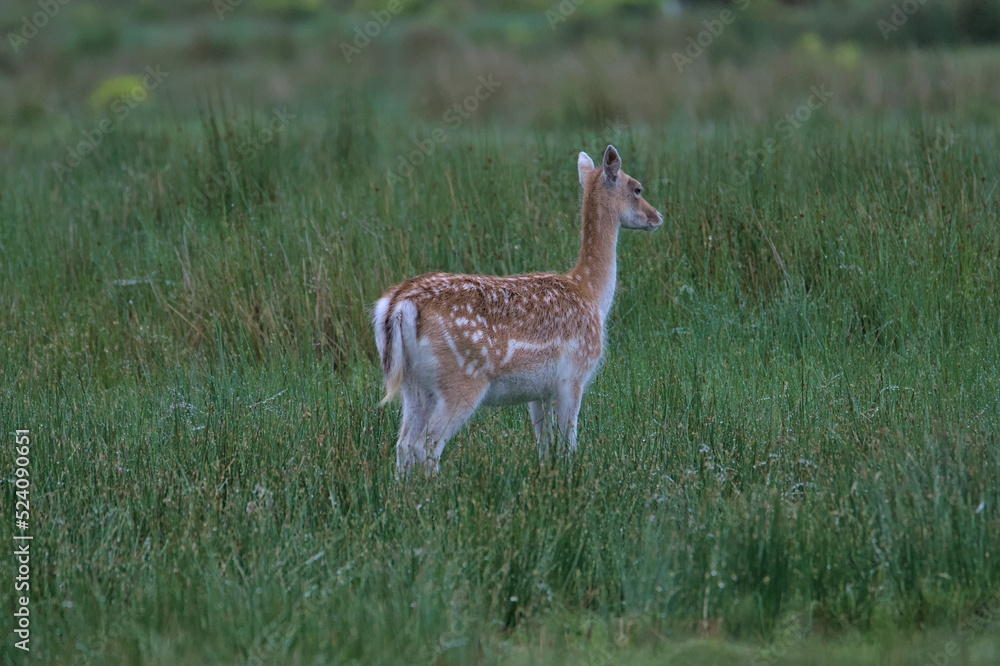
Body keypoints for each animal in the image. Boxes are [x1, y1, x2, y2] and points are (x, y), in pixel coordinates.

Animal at [372, 145, 662, 475]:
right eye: (637, 188)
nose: (657, 216)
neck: (590, 292)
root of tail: (399, 305)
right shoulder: (573, 375)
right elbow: (569, 441)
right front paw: (570, 475)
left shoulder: (539, 391)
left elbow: (545, 444)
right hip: (461, 379)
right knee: (428, 443)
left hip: (412, 384)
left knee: (404, 442)